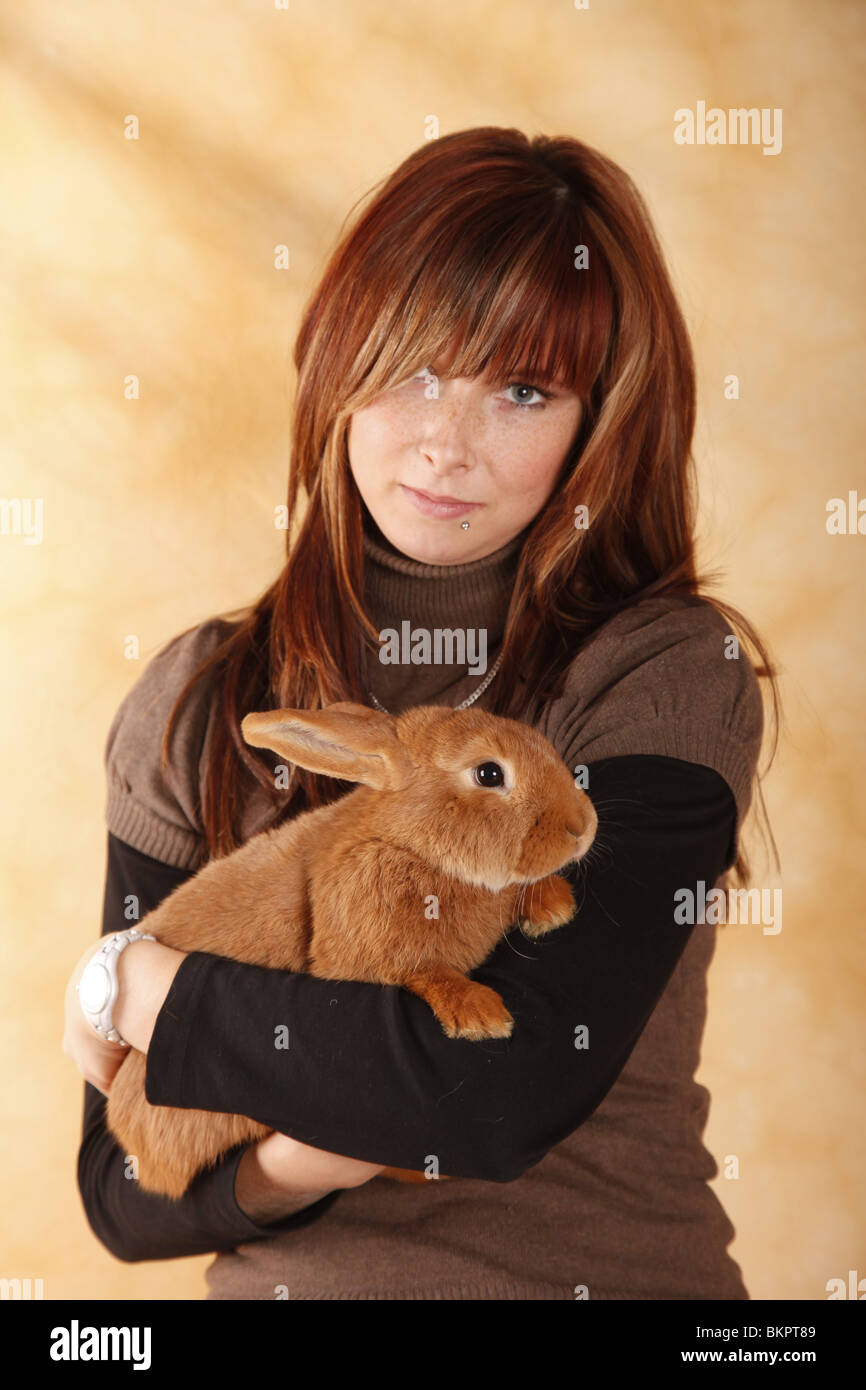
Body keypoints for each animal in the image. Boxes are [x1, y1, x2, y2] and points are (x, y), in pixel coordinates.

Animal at [105, 701, 597, 1199]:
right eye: (489, 773)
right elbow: (421, 973)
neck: (409, 842)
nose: (583, 825)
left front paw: (553, 905)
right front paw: (479, 1014)